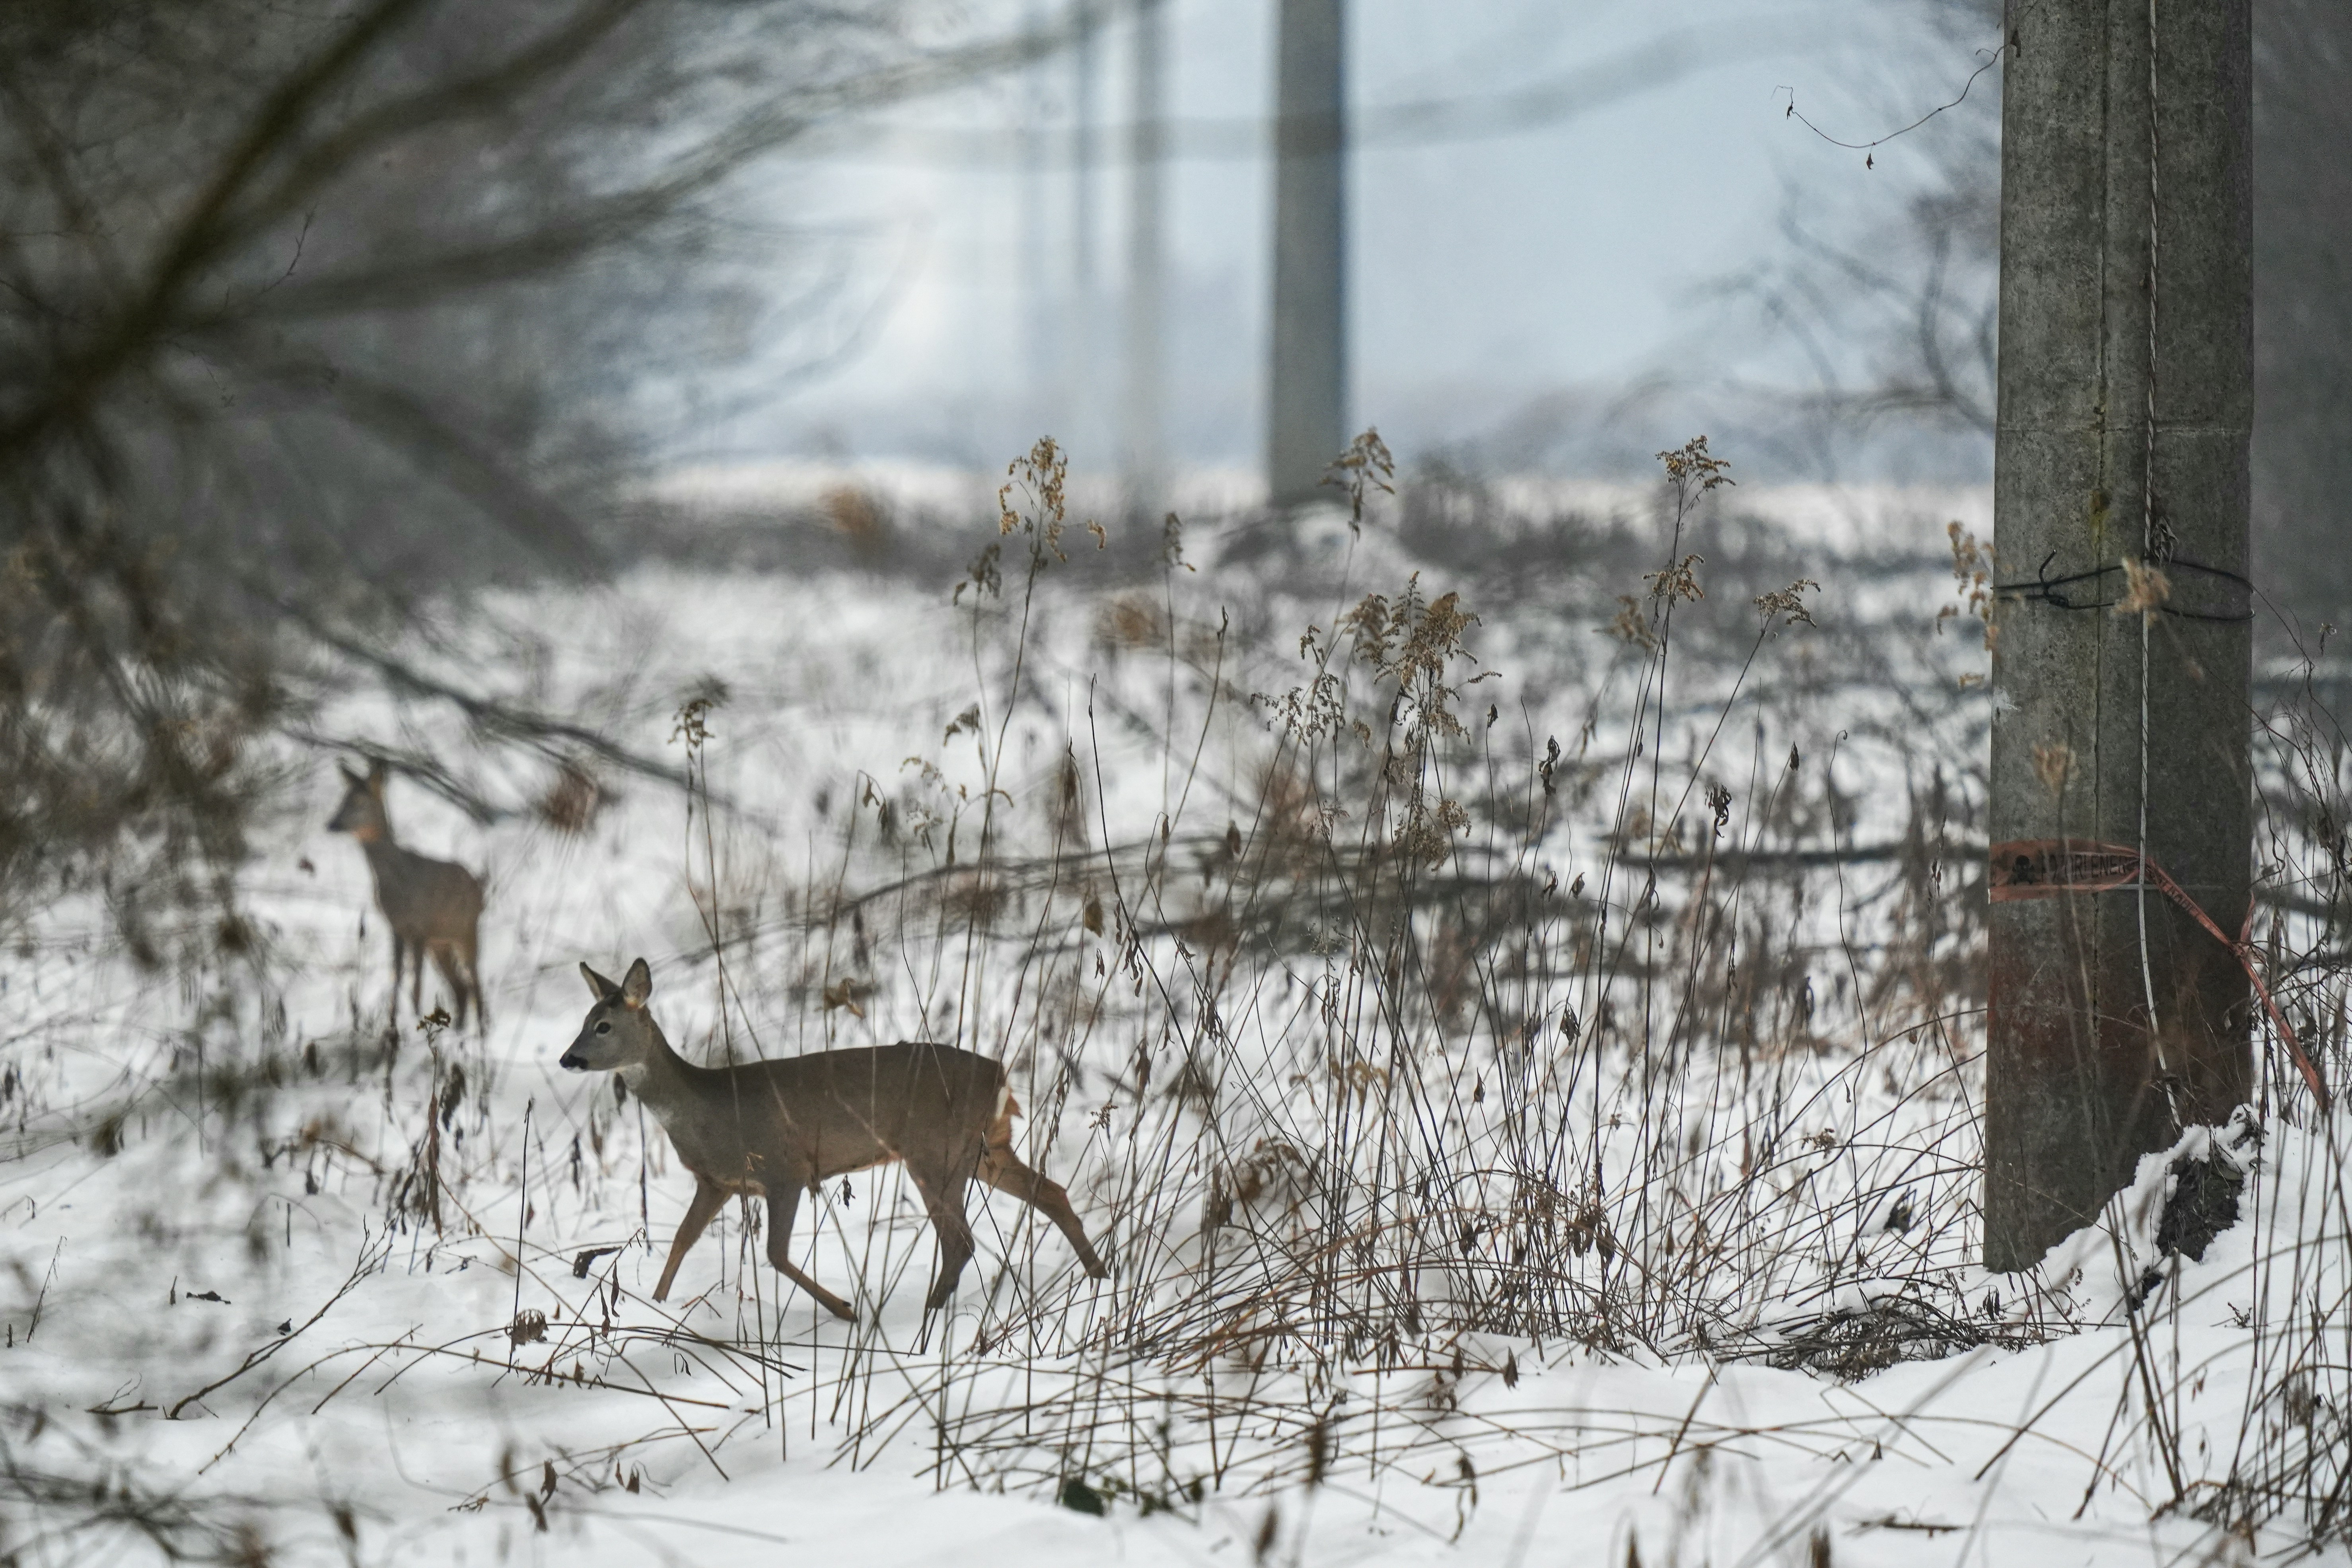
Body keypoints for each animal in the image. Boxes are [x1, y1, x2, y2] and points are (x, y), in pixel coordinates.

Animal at [327, 758, 487, 1031]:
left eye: (360, 802)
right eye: (342, 799)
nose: (332, 824)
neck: (398, 883)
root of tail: (479, 886)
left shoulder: (420, 926)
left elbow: (416, 984)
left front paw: (413, 1020)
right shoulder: (397, 927)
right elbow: (397, 977)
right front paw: (393, 1024)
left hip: (466, 929)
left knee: (475, 981)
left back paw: (482, 1033)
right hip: (440, 942)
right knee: (461, 987)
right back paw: (459, 1032)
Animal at [558, 957, 1108, 1319]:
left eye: (603, 1026)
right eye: (583, 1021)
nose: (568, 1059)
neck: (705, 1108)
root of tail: (1000, 1076)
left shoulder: (784, 1169)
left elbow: (775, 1254)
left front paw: (846, 1309)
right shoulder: (718, 1182)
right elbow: (681, 1241)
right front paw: (657, 1308)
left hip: (935, 1149)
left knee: (961, 1239)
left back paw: (926, 1314)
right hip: (982, 1148)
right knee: (1050, 1193)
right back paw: (1099, 1274)